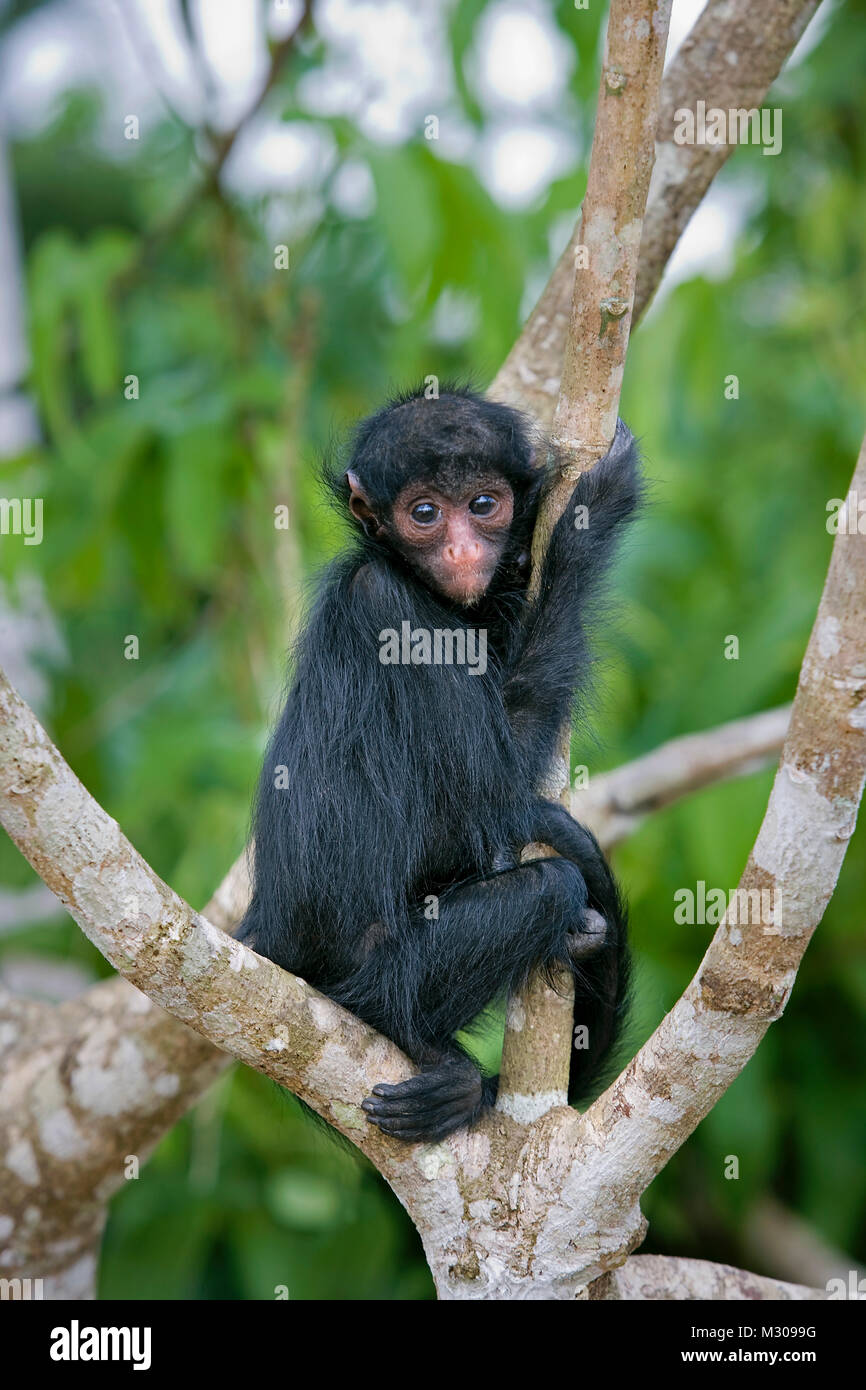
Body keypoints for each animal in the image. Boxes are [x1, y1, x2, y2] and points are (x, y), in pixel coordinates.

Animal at [237, 383, 640, 1142]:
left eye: (484, 504)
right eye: (424, 514)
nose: (459, 546)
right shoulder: (393, 610)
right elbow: (499, 790)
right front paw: (587, 520)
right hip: (383, 968)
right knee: (547, 884)